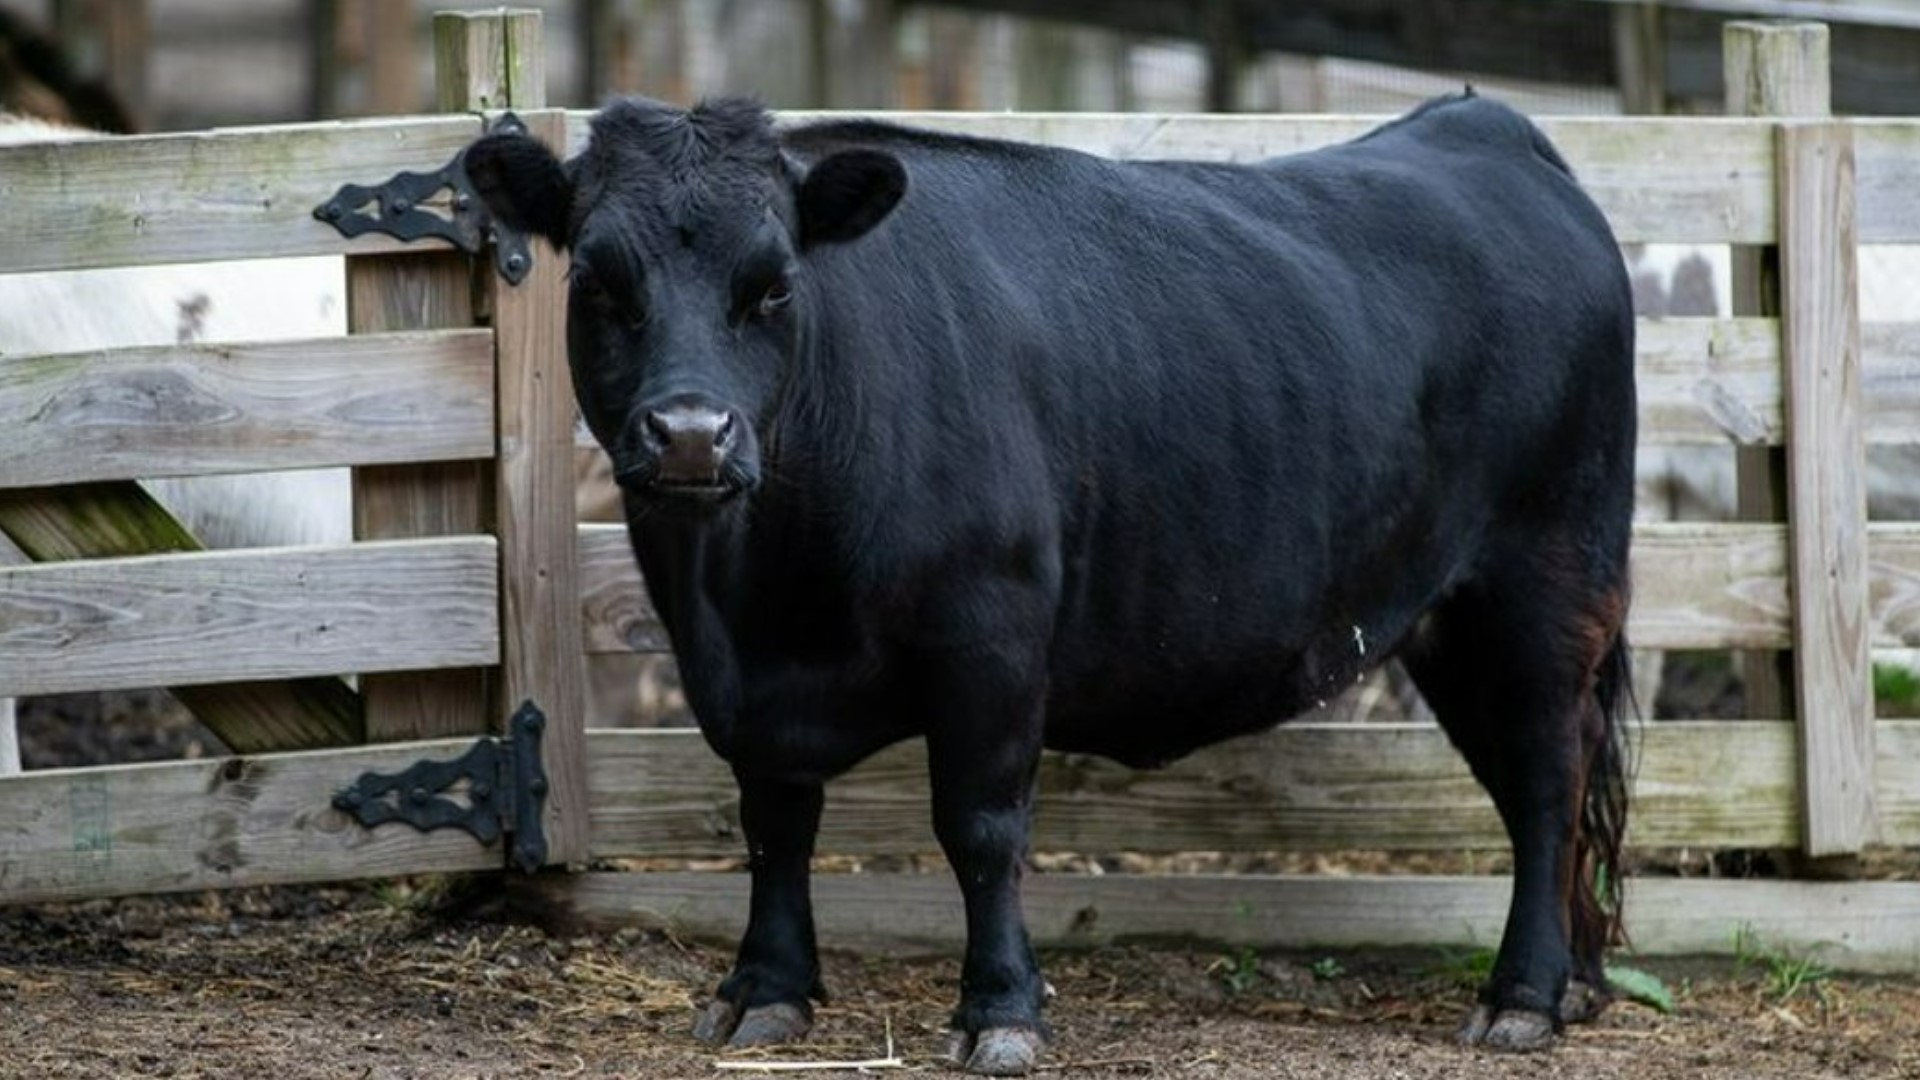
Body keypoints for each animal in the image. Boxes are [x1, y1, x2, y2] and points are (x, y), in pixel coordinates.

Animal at [464, 92, 1637, 1075]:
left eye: (775, 285)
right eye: (597, 282)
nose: (691, 436)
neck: (765, 597)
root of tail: (1483, 127)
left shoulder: (990, 634)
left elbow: (980, 828)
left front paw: (1000, 1011)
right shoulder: (742, 684)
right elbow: (773, 822)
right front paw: (765, 989)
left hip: (1542, 583)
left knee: (1546, 777)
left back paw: (1523, 995)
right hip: (1453, 618)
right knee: (1545, 778)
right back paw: (1574, 983)